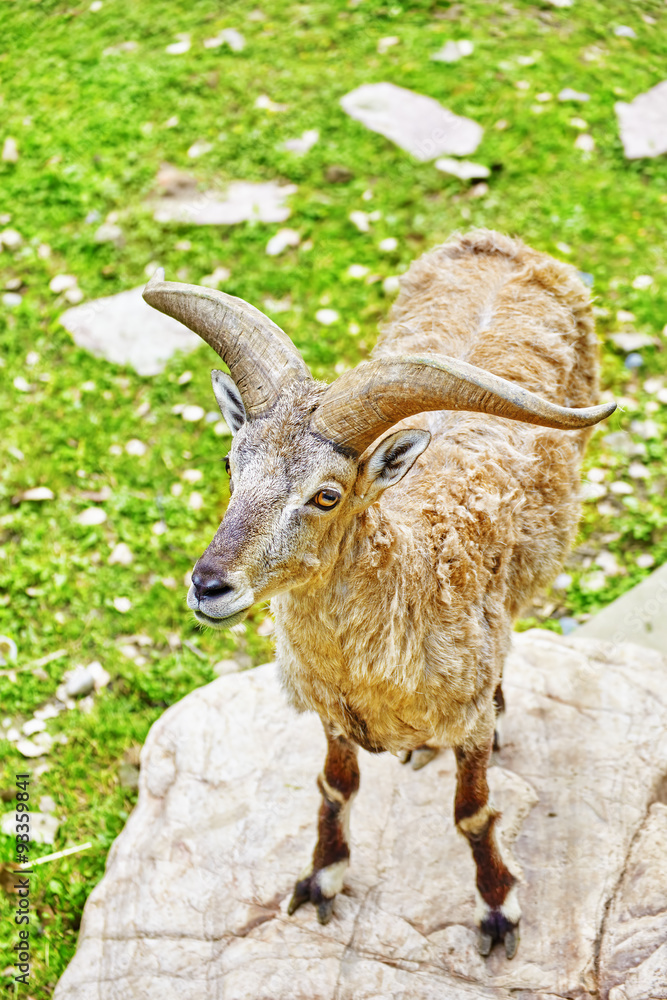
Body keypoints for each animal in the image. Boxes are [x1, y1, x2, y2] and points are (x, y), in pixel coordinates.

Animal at [143, 229, 615, 959]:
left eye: (327, 495)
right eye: (231, 463)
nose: (209, 585)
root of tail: (497, 242)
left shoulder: (466, 720)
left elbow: (473, 812)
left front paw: (498, 910)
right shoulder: (329, 711)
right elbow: (336, 787)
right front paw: (321, 879)